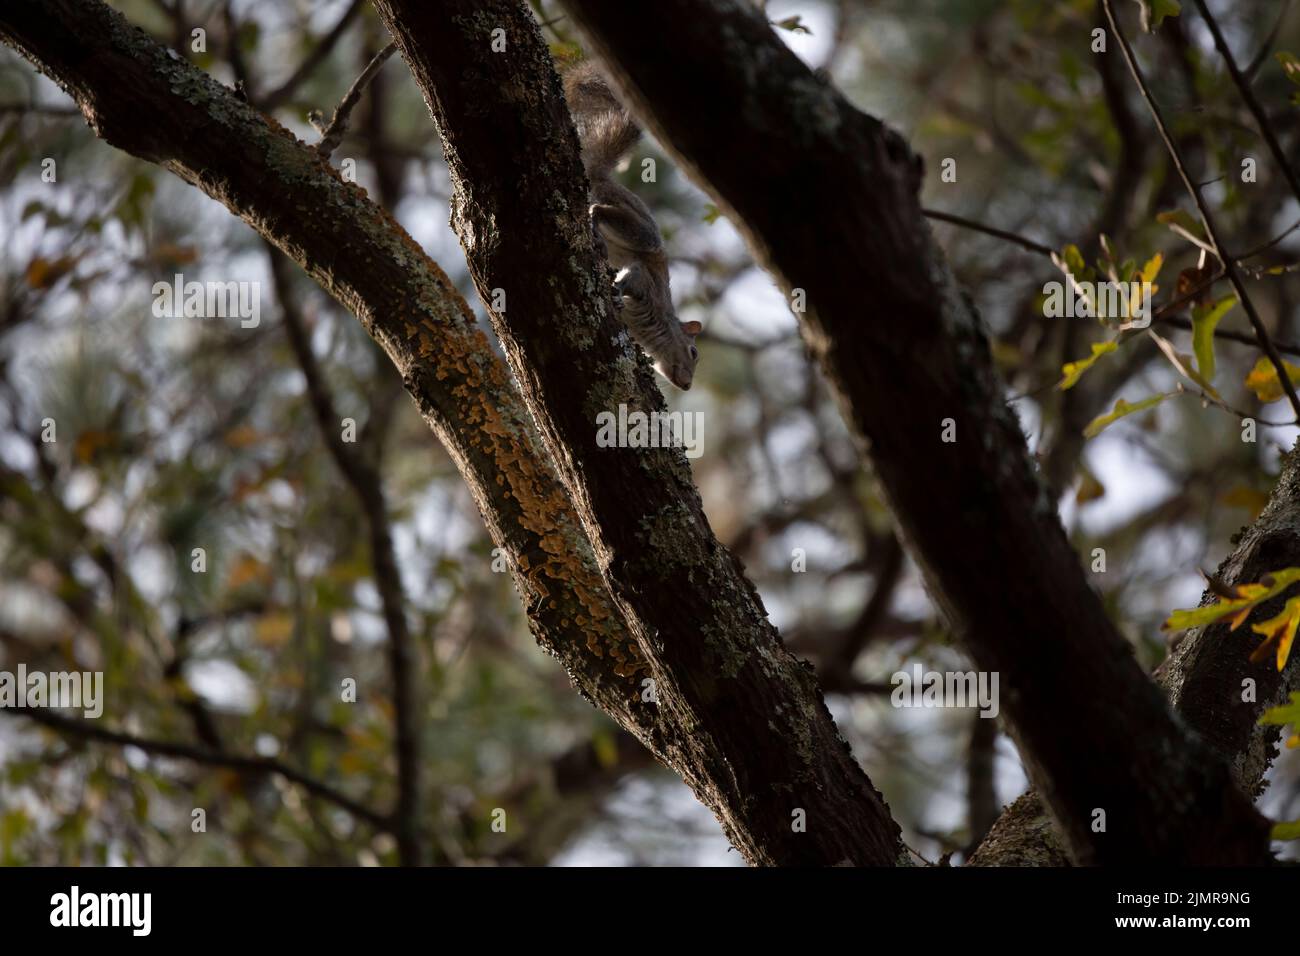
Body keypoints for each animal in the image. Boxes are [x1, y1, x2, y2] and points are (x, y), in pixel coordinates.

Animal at [563, 61, 702, 390]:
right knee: (601, 211)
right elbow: (633, 275)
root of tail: (598, 175)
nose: (687, 385)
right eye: (693, 352)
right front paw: (617, 289)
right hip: (639, 230)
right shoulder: (649, 287)